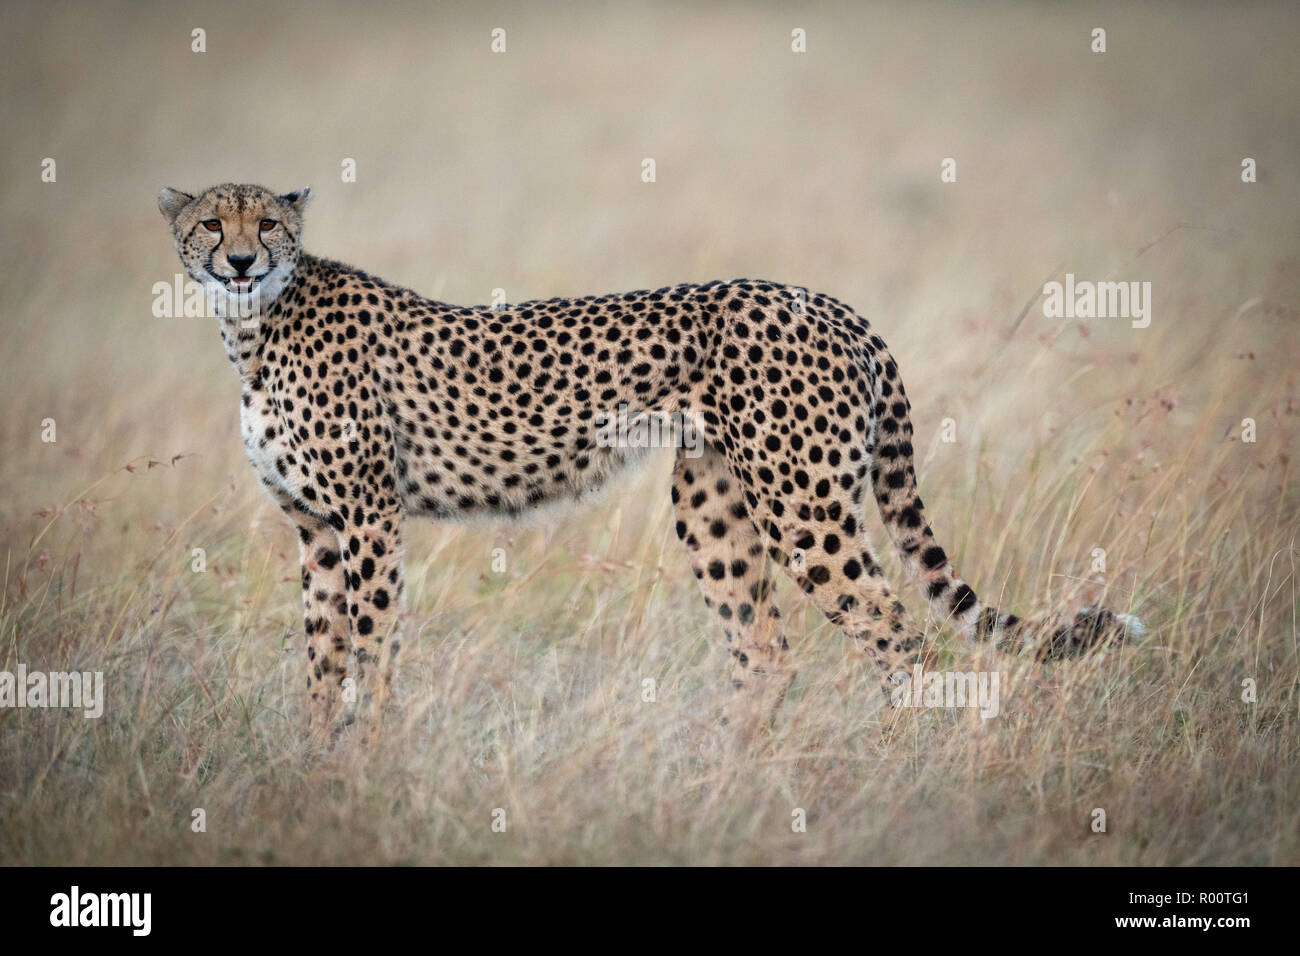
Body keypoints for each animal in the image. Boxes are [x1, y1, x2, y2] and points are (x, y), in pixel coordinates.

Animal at [158, 182, 1143, 732]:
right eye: (210, 223)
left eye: (266, 224)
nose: (241, 261)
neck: (252, 326)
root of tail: (822, 298)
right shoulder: (316, 529)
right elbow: (322, 659)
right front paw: (317, 761)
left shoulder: (368, 515)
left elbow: (371, 648)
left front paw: (371, 757)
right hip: (714, 506)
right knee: (766, 652)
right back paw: (734, 777)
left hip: (806, 510)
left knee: (898, 635)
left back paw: (896, 767)